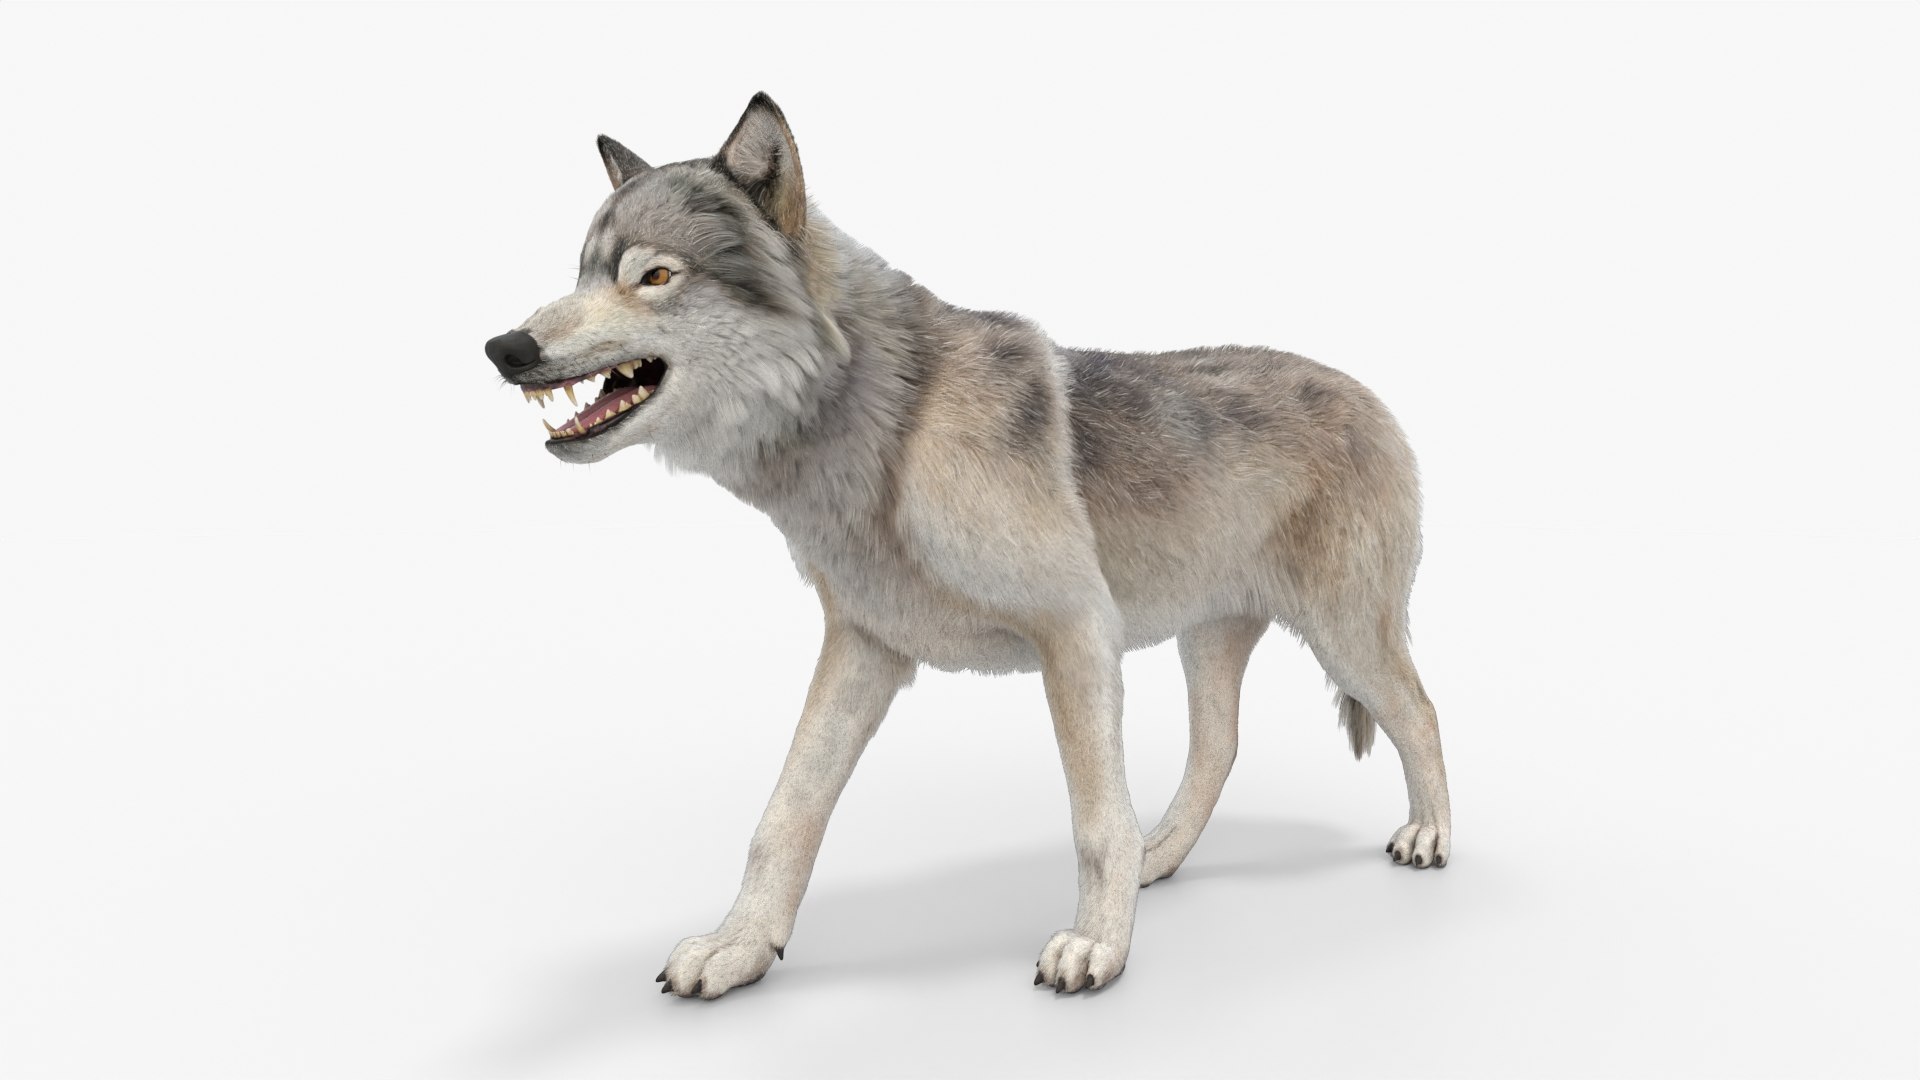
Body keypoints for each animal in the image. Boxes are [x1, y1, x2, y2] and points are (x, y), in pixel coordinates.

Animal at [483, 93, 1451, 998]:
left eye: (652, 276)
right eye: (581, 274)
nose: (505, 347)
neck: (886, 436)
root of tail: (1372, 397)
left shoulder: (1078, 634)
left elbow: (1095, 820)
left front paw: (1096, 948)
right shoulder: (864, 647)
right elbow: (784, 813)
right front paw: (739, 949)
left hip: (1344, 638)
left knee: (1421, 712)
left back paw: (1429, 837)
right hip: (1208, 641)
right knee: (1220, 750)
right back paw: (1160, 860)